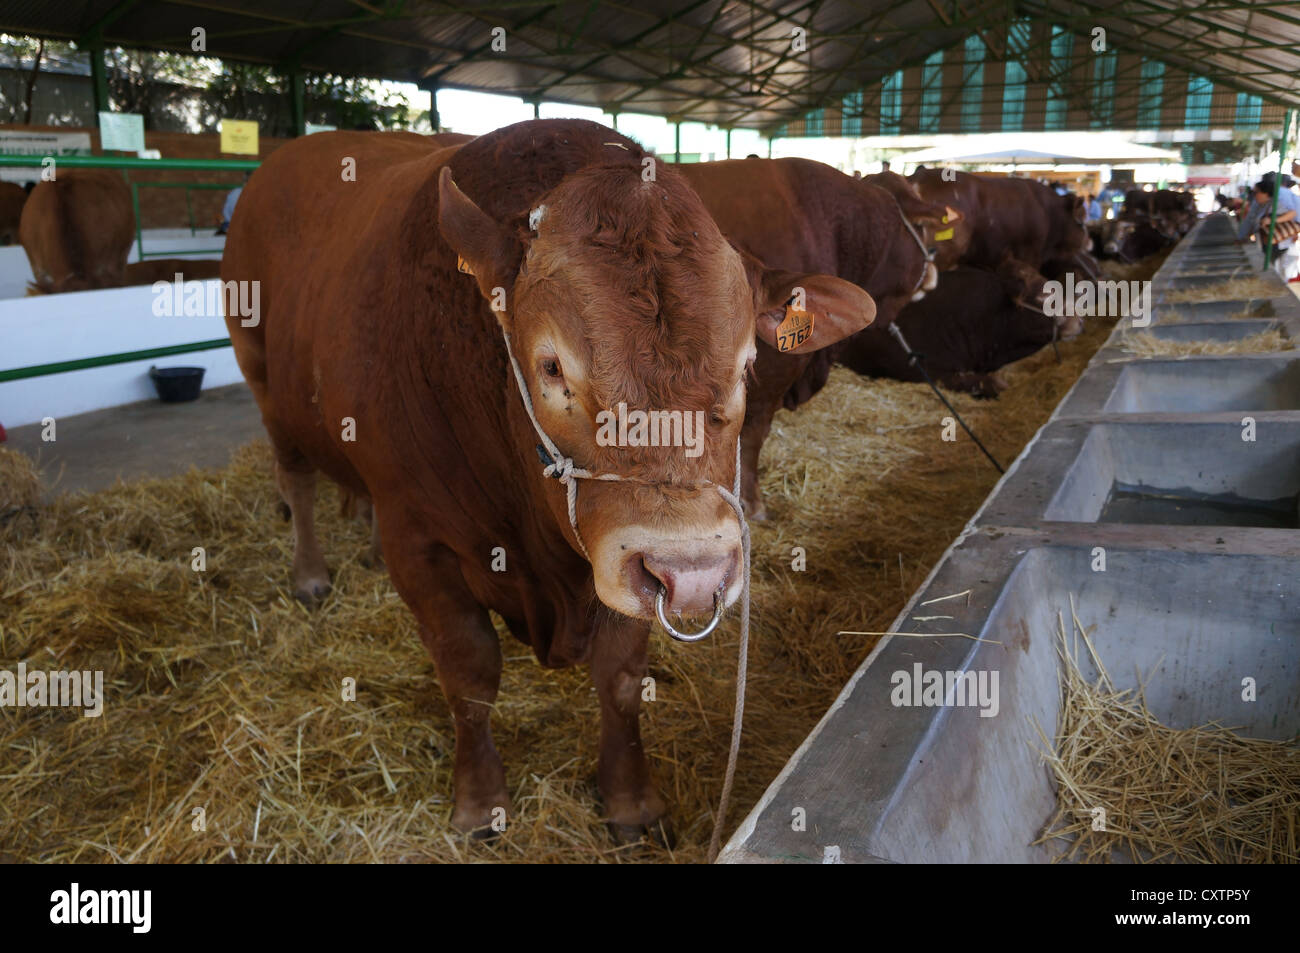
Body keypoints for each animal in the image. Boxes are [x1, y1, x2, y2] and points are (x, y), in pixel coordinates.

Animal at [221, 119, 875, 841]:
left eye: (747, 362)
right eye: (553, 365)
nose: (693, 571)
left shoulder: (614, 563)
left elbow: (620, 676)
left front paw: (630, 801)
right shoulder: (419, 542)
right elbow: (468, 673)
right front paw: (479, 801)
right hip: (263, 383)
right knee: (297, 481)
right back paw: (310, 572)